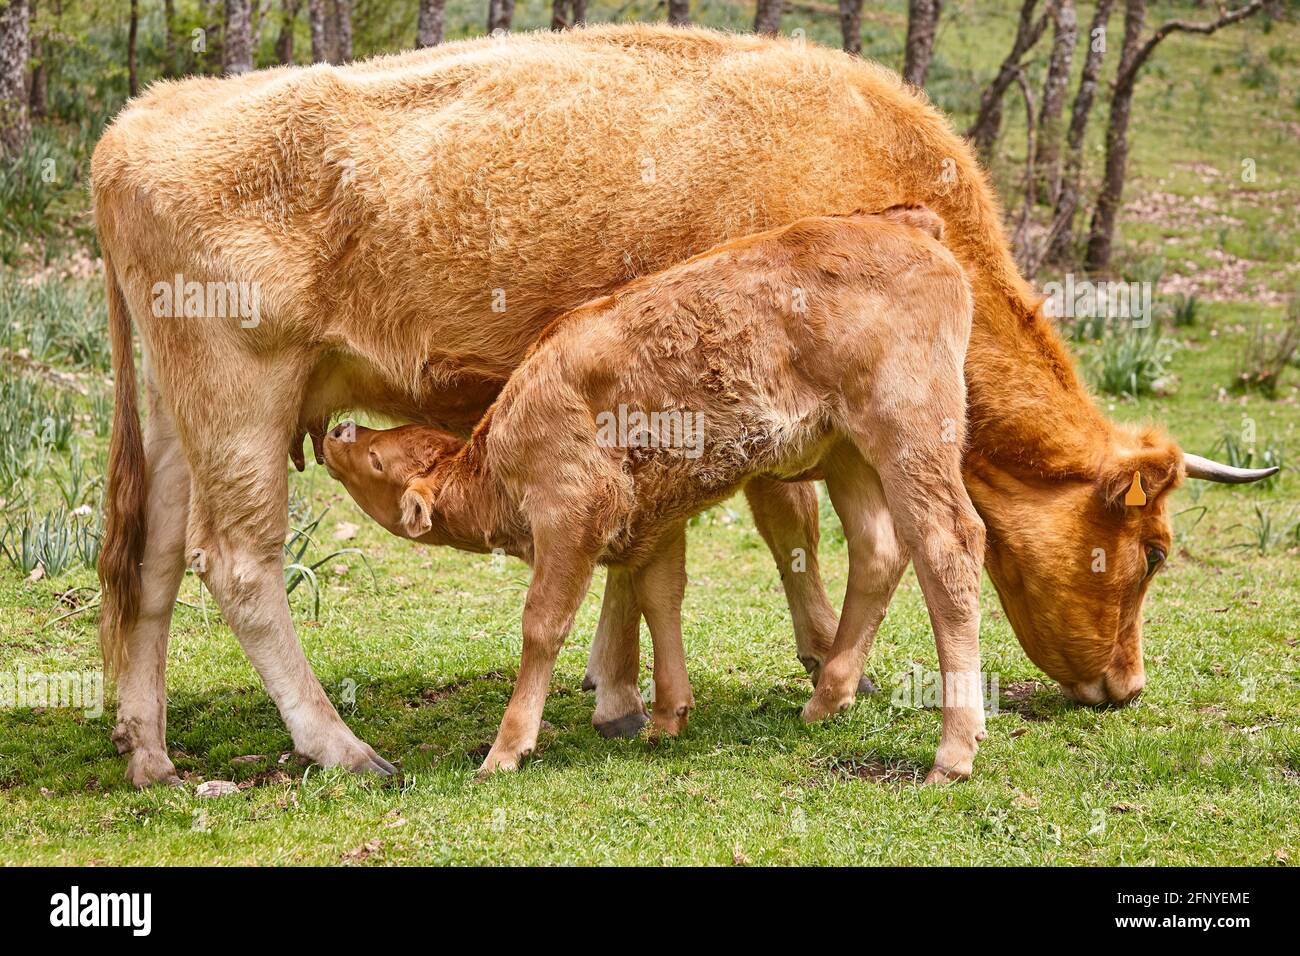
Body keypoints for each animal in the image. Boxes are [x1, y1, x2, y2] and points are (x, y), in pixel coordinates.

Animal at [321, 209, 989, 782]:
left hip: (910, 437)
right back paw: (827, 698)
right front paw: (668, 716)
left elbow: (544, 624)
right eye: (392, 438)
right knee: (879, 549)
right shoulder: (654, 520)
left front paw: (505, 750)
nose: (338, 431)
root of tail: (908, 225)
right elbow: (660, 597)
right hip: (850, 451)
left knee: (947, 546)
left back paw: (954, 752)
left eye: (376, 461)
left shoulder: (570, 517)